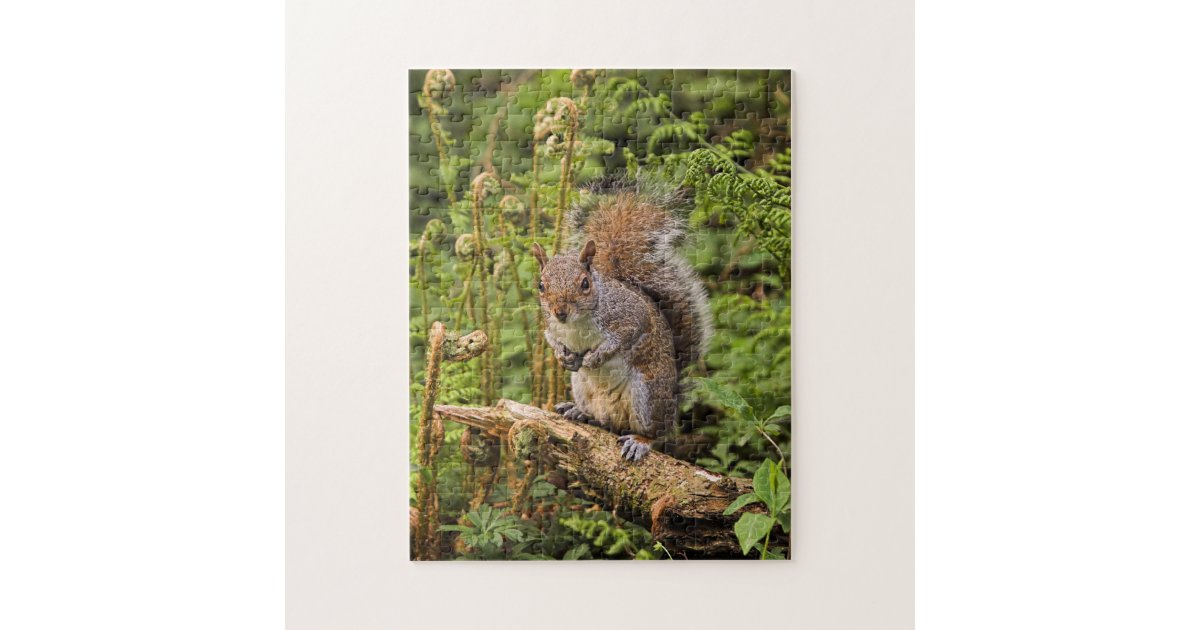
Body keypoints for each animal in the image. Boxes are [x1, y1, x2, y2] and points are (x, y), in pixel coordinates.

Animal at [530, 176, 713, 462]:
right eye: (541, 285)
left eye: (584, 284)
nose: (560, 311)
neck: (576, 323)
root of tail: (672, 403)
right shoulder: (550, 326)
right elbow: (552, 339)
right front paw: (562, 355)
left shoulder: (630, 316)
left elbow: (626, 335)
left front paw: (596, 357)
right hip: (582, 388)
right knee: (605, 420)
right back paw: (579, 412)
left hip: (646, 395)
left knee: (654, 433)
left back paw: (640, 441)